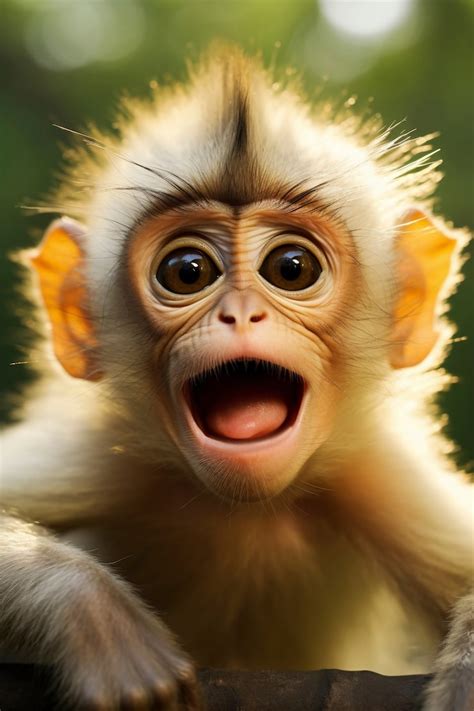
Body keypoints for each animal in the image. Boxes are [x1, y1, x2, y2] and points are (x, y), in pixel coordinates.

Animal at [0, 46, 472, 711]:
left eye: (291, 267)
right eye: (188, 270)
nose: (241, 315)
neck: (246, 511)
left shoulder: (382, 478)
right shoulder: (94, 458)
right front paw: (95, 616)